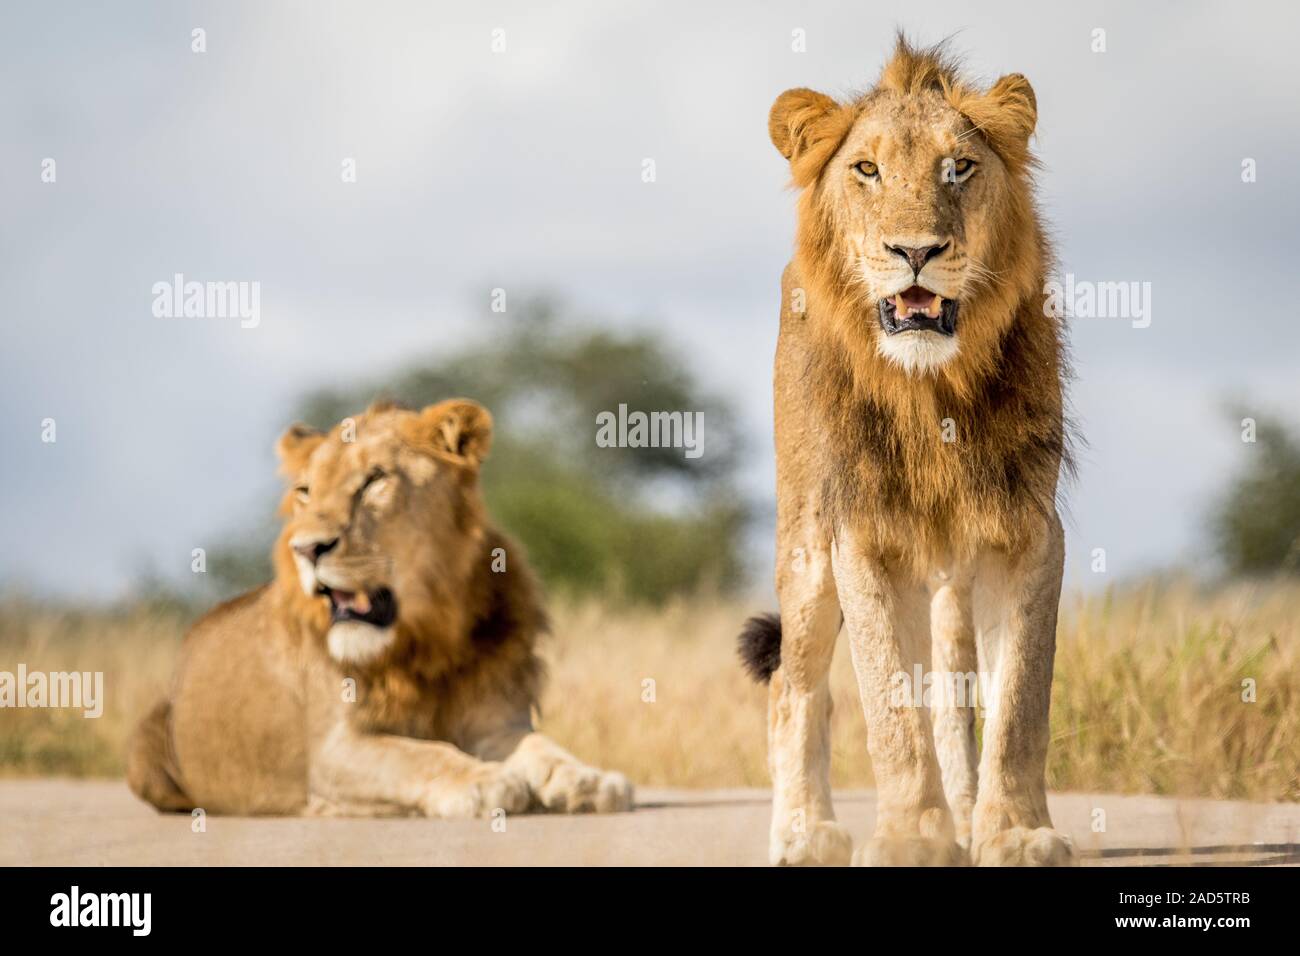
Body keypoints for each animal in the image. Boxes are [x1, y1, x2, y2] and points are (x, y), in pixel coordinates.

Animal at [127, 398, 633, 819]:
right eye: (305, 492)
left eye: (374, 480)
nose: (305, 548)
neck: (429, 638)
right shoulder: (334, 749)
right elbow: (417, 755)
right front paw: (484, 780)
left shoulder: (496, 721)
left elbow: (542, 747)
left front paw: (589, 780)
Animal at [738, 37, 1075, 867]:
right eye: (867, 169)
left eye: (960, 168)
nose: (915, 250)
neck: (932, 393)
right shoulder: (863, 537)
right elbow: (890, 701)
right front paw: (913, 839)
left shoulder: (1028, 531)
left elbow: (1018, 702)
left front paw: (1014, 832)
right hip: (806, 548)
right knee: (794, 688)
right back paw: (803, 831)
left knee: (952, 692)